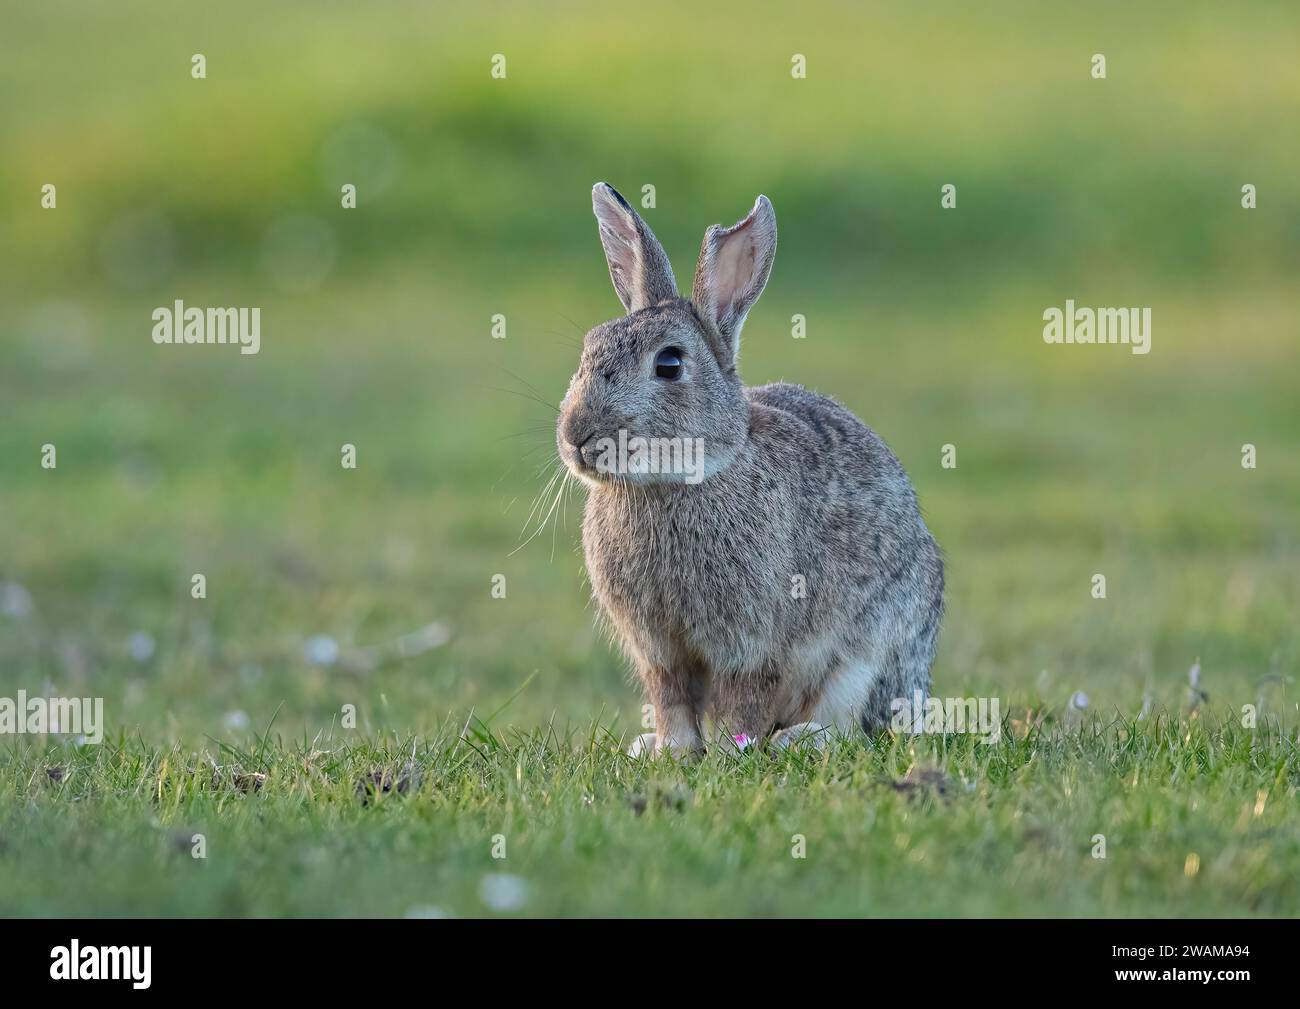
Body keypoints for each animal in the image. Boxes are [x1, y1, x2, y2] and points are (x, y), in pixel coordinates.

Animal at [557, 183, 944, 757]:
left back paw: (799, 739)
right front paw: (671, 750)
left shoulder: (752, 643)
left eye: (669, 364)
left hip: (870, 657)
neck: (675, 483)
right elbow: (671, 698)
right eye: (589, 347)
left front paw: (730, 751)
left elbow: (744, 698)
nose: (576, 435)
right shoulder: (659, 650)